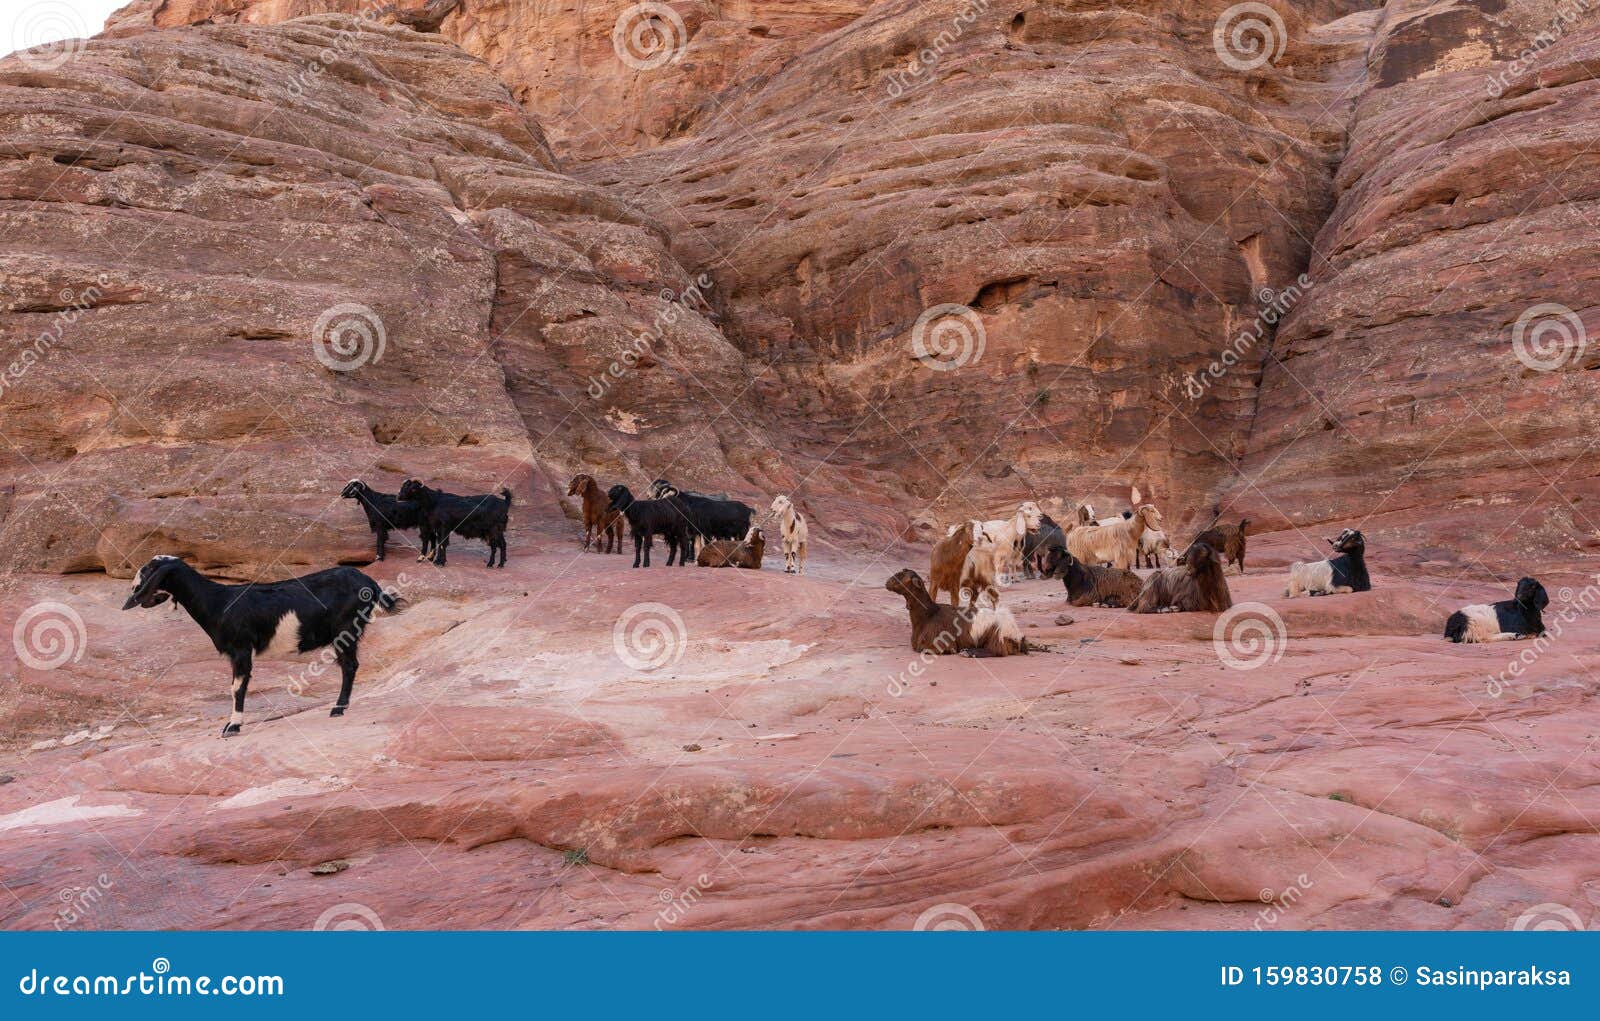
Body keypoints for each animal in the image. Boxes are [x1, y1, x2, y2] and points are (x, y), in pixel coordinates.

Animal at [122, 555, 396, 736]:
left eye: (149, 569)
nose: (133, 589)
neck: (218, 602)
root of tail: (370, 583)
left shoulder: (241, 648)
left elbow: (237, 687)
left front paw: (232, 726)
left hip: (345, 629)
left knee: (349, 666)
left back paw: (338, 708)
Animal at [885, 569, 1027, 657]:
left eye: (901, 576)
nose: (887, 583)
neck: (928, 615)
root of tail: (1016, 634)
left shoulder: (939, 645)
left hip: (997, 634)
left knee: (997, 651)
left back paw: (968, 652)